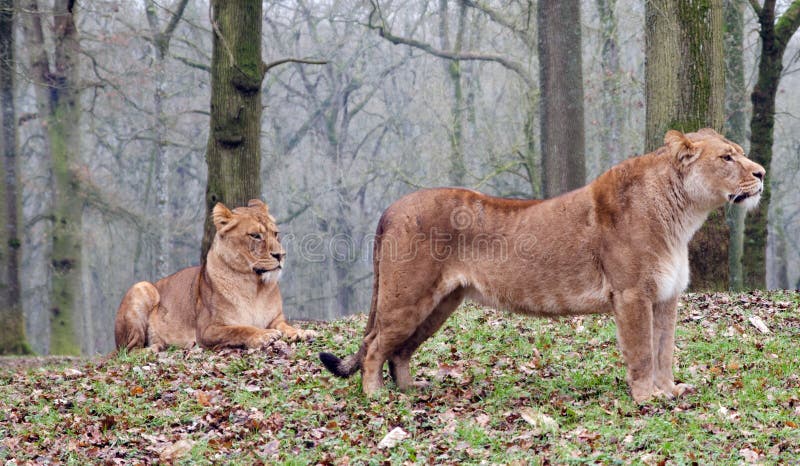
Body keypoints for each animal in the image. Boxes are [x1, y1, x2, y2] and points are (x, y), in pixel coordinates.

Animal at [114, 199, 316, 351]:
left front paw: (300, 332)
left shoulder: (276, 318)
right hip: (142, 287)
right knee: (130, 350)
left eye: (275, 233)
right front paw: (264, 335)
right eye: (255, 236)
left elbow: (285, 326)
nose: (281, 255)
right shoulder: (207, 329)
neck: (254, 287)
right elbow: (241, 329)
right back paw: (158, 347)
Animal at [320, 128, 765, 402]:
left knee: (400, 351)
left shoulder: (666, 297)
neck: (682, 216)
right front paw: (645, 398)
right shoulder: (632, 295)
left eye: (742, 154)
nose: (761, 173)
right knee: (375, 345)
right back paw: (376, 395)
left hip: (440, 304)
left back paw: (411, 389)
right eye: (728, 158)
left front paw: (669, 391)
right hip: (407, 297)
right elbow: (641, 352)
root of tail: (390, 208)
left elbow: (664, 349)